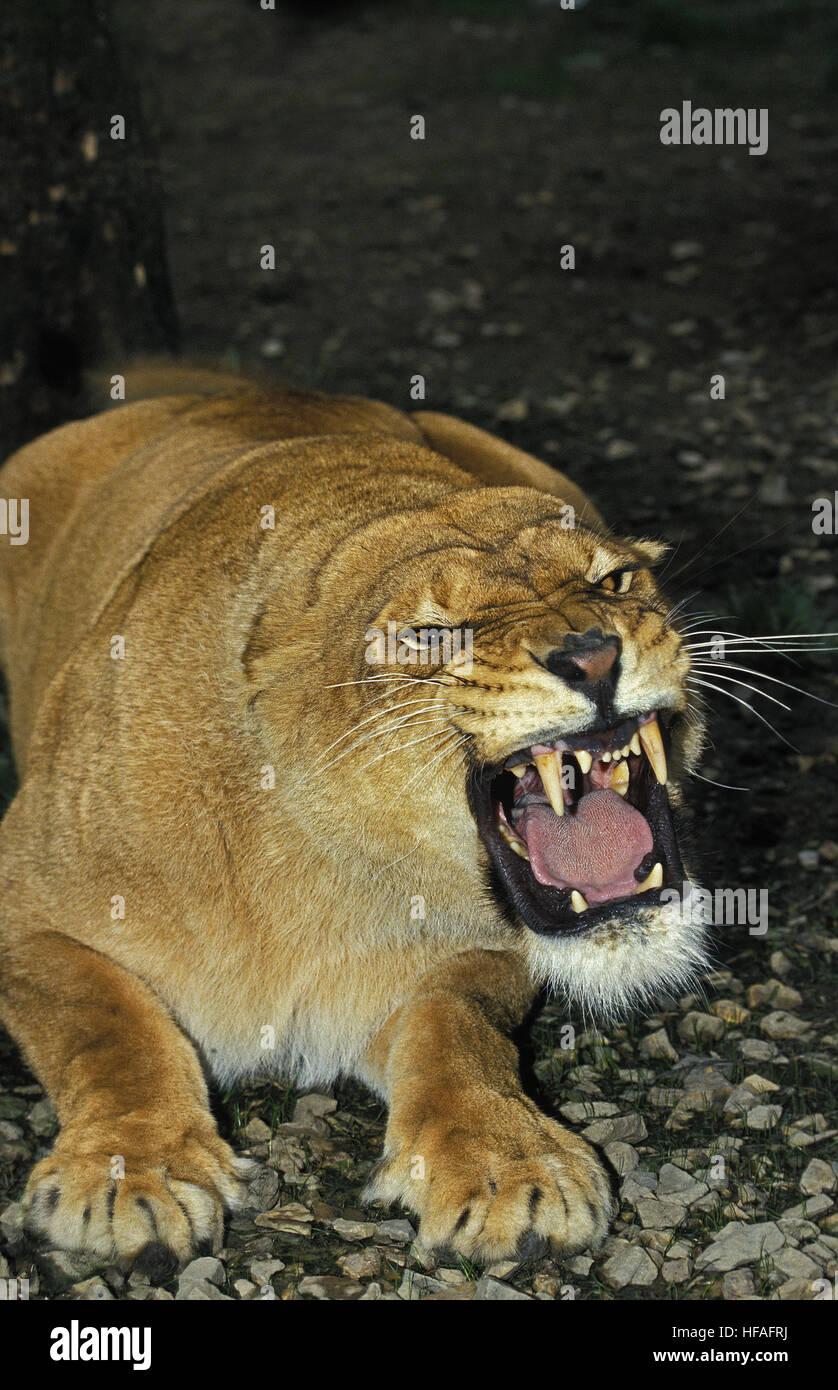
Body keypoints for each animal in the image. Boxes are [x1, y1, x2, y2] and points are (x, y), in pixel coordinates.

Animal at [0, 371, 708, 1271]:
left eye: (614, 583)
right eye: (433, 635)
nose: (592, 654)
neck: (313, 865)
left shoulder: (472, 957)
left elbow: (456, 1028)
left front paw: (509, 1165)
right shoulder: (22, 905)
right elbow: (103, 1019)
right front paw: (134, 1171)